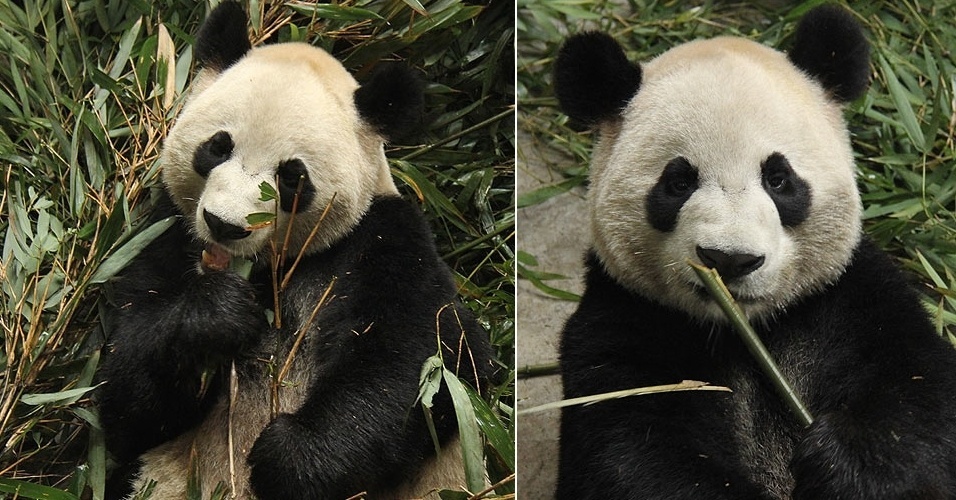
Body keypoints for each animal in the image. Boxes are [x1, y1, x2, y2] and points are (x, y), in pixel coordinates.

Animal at [96, 2, 491, 499]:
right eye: (217, 147)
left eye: (291, 177)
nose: (224, 225)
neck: (274, 268)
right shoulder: (166, 234)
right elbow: (127, 393)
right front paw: (219, 314)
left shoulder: (386, 242)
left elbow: (430, 364)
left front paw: (288, 459)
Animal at [553, 5, 956, 499]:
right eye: (678, 182)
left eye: (778, 179)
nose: (729, 259)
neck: (746, 331)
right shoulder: (624, 322)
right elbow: (630, 454)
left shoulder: (851, 297)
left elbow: (919, 393)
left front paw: (845, 463)